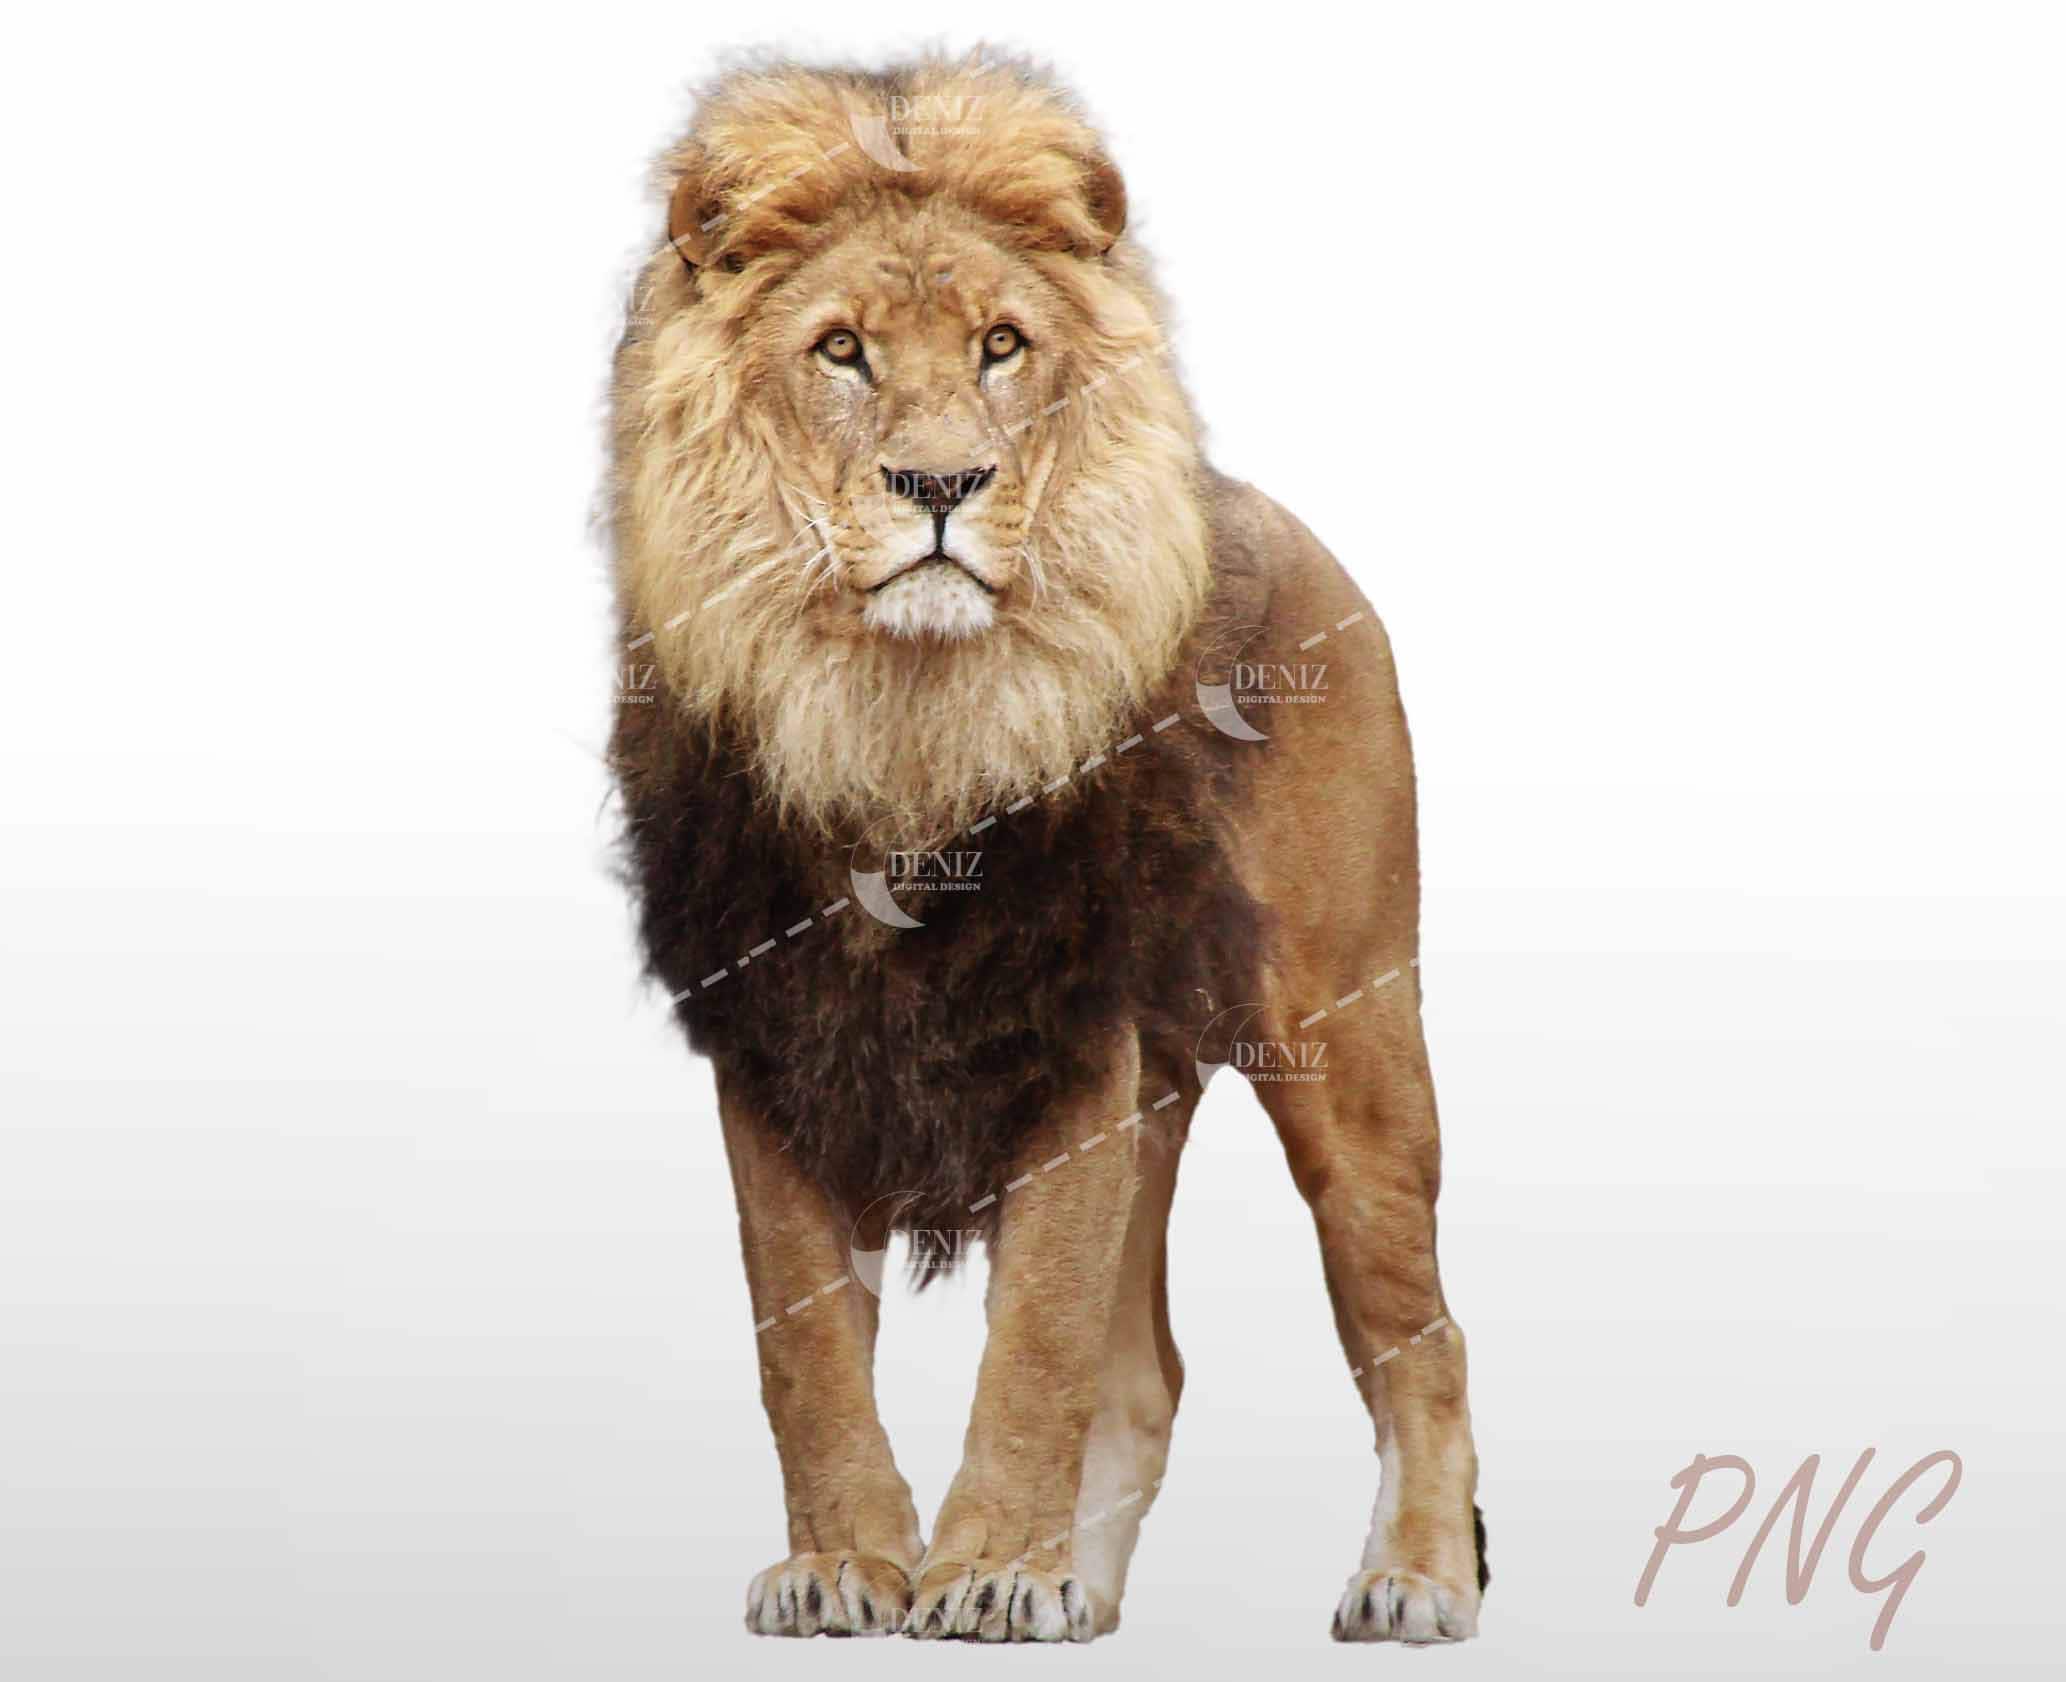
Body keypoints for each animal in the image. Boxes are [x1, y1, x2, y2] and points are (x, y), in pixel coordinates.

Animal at [608, 53, 1485, 1645]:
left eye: (1001, 345)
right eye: (841, 352)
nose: (941, 486)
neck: (898, 714)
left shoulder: (1072, 1024)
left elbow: (1035, 1341)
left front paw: (988, 1568)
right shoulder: (771, 1033)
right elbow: (803, 1339)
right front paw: (850, 1561)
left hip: (1348, 1042)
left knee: (1421, 1332)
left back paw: (1411, 1577)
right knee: (1148, 1368)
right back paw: (1082, 1584)